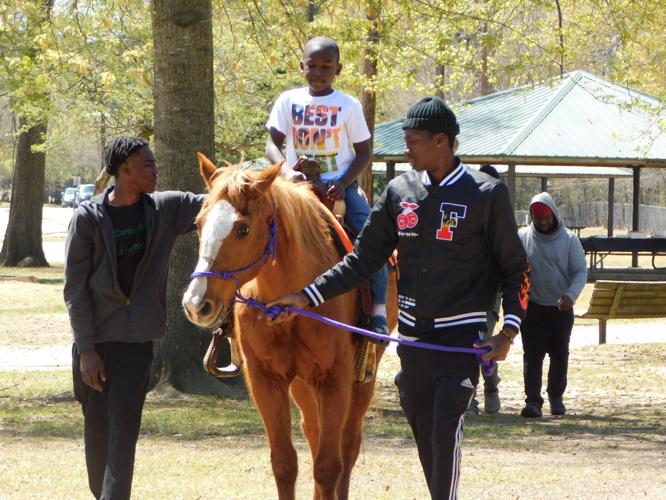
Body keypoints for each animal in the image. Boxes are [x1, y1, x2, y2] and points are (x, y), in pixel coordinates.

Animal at [182, 154, 398, 500]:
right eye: (199, 223)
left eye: (243, 228)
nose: (195, 302)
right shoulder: (266, 380)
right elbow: (284, 463)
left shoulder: (334, 378)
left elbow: (329, 464)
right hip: (302, 384)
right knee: (313, 431)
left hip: (364, 374)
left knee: (348, 444)